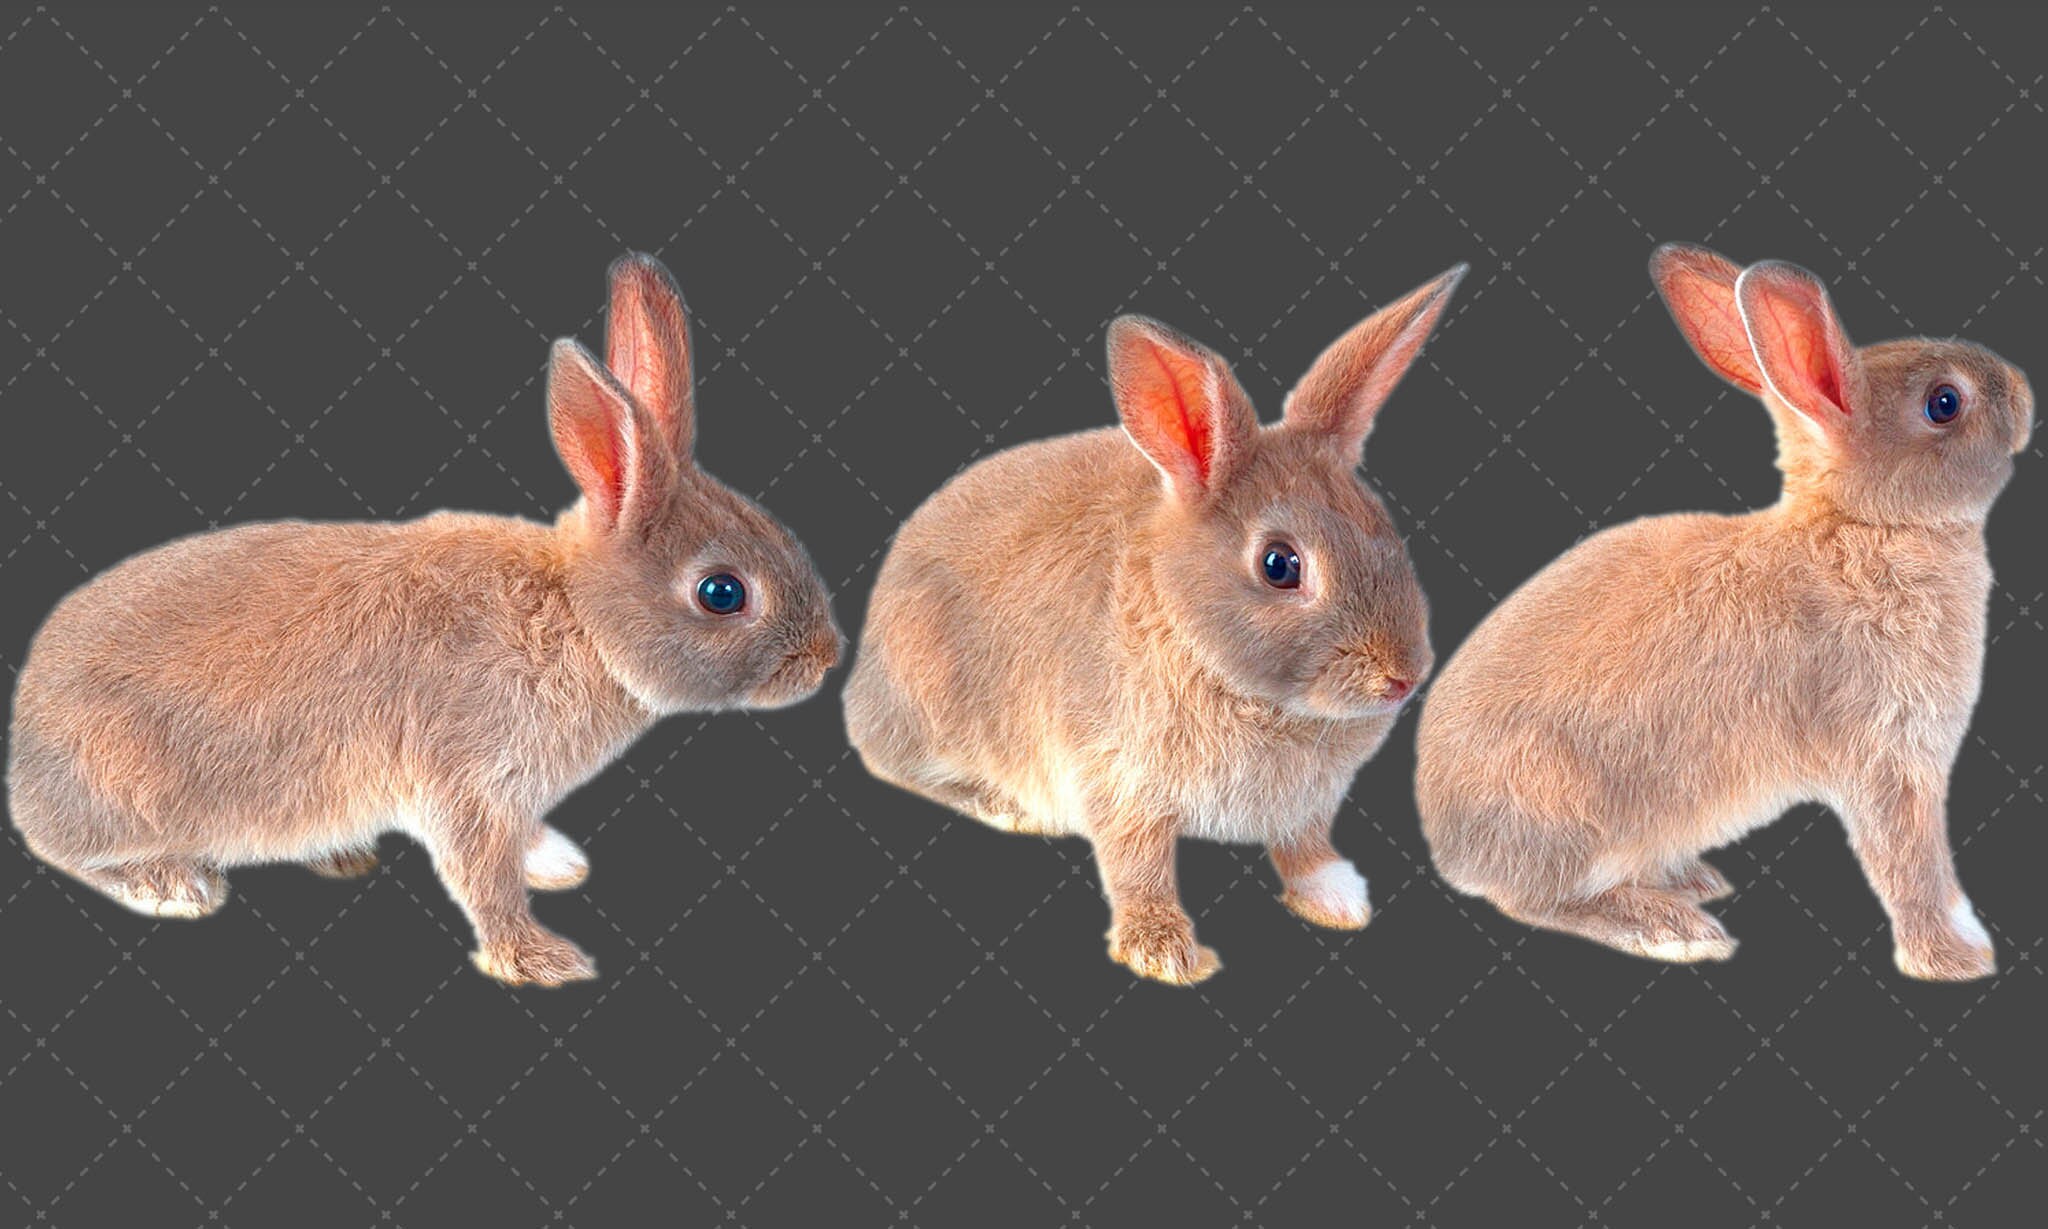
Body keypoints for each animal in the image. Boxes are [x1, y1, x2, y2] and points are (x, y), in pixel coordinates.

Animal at [6, 253, 844, 986]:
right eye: (722, 593)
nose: (827, 655)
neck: (579, 615)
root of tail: (25, 736)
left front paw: (554, 860)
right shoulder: (471, 779)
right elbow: (481, 875)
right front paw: (540, 959)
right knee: (71, 850)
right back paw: (172, 883)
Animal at [844, 266, 1466, 985]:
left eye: (1384, 528)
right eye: (1280, 565)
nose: (1404, 677)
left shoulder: (1305, 805)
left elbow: (1302, 843)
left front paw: (1335, 897)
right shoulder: (1116, 776)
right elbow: (1135, 865)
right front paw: (1165, 952)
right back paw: (1006, 805)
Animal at [1415, 244, 2032, 981]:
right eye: (1945, 403)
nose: (2024, 390)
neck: (1866, 524)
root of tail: (1448, 842)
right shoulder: (1886, 755)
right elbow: (1909, 861)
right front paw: (1954, 959)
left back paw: (1689, 879)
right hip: (1564, 805)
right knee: (1539, 898)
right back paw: (1668, 925)